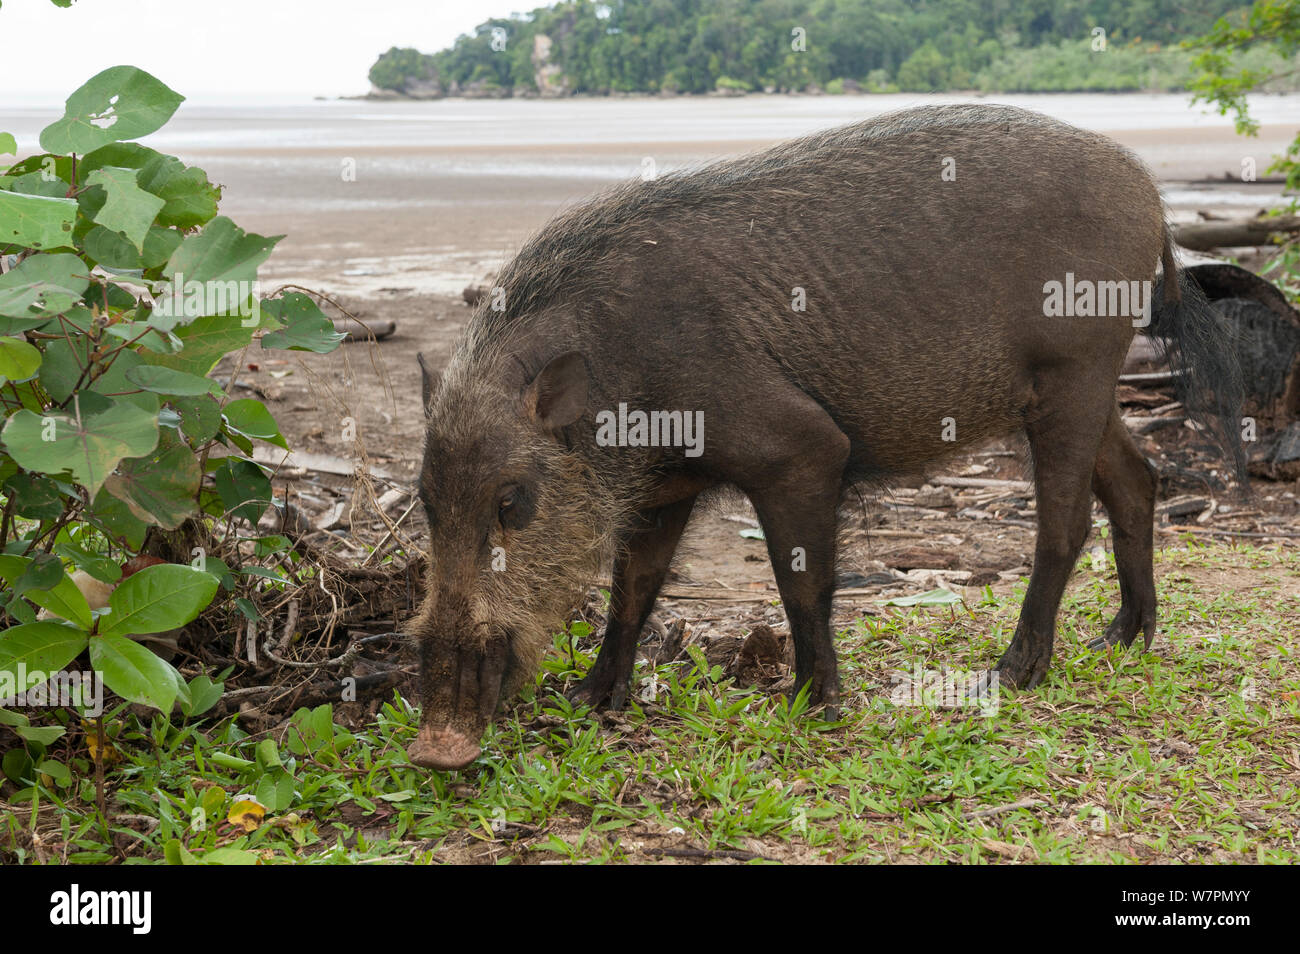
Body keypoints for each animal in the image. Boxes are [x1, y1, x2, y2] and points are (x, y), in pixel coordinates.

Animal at [406, 104, 1242, 770]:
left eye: (514, 501)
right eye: (425, 505)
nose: (436, 748)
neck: (621, 383)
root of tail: (1155, 203)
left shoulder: (800, 449)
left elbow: (801, 582)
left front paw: (813, 705)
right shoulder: (664, 484)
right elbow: (632, 587)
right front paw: (591, 699)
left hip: (1077, 371)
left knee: (1064, 524)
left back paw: (1008, 676)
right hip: (1086, 388)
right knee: (1138, 480)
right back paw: (1121, 640)